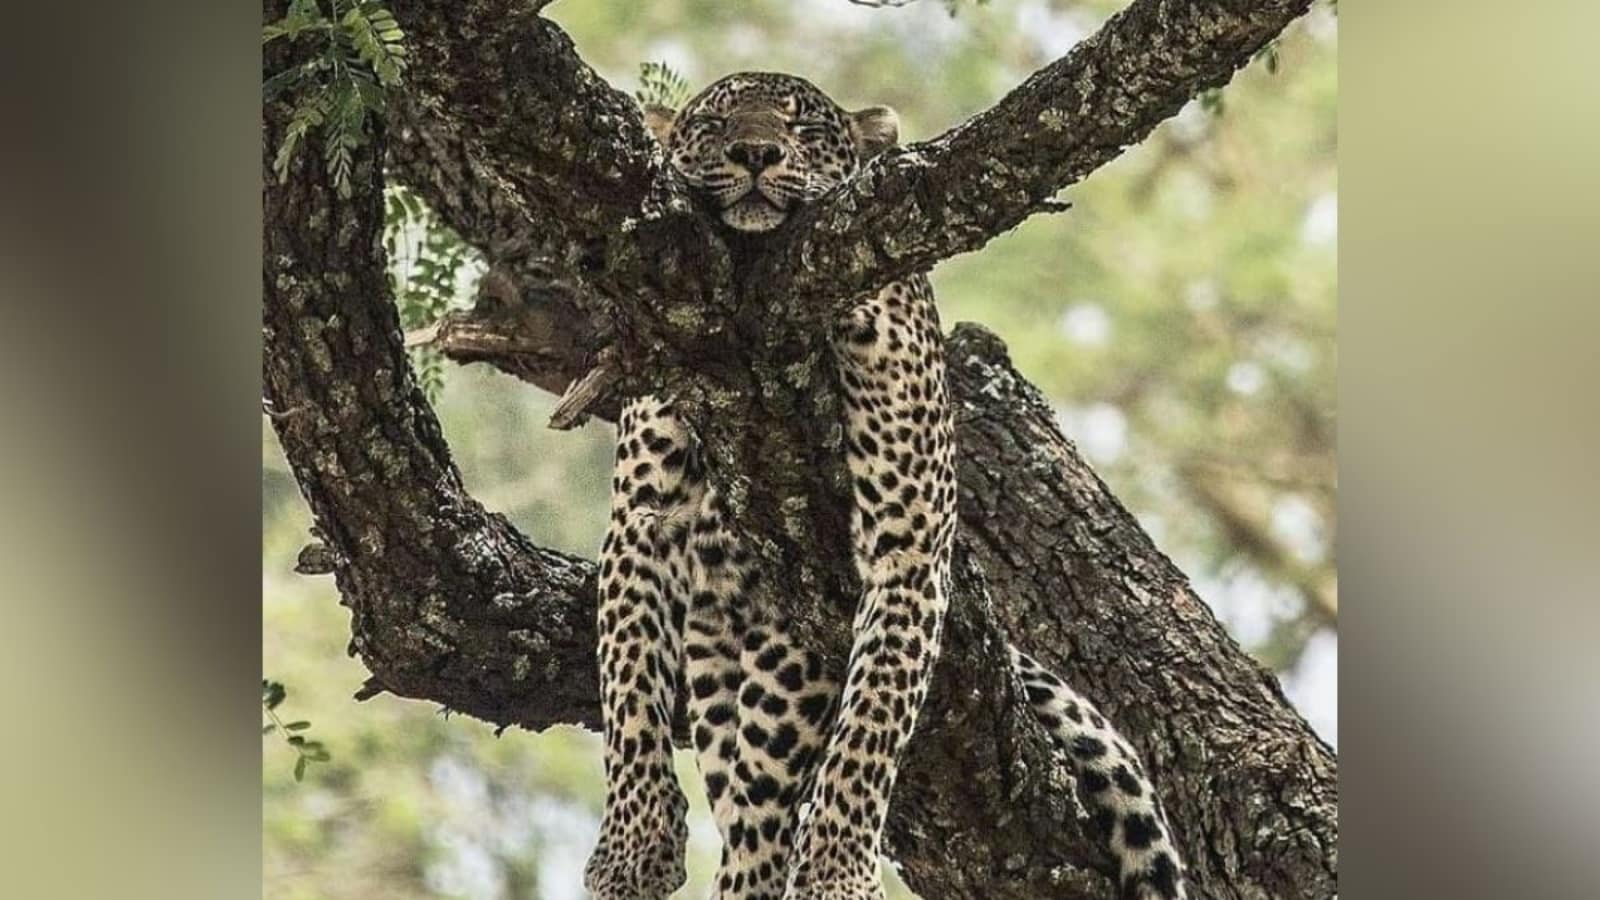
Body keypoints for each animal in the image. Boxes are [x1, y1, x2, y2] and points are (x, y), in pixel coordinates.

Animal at [582, 71, 1187, 900]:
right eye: (714, 122)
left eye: (803, 127)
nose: (755, 152)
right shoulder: (643, 521)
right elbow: (628, 685)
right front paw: (634, 845)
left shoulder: (907, 550)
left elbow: (868, 729)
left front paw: (837, 873)